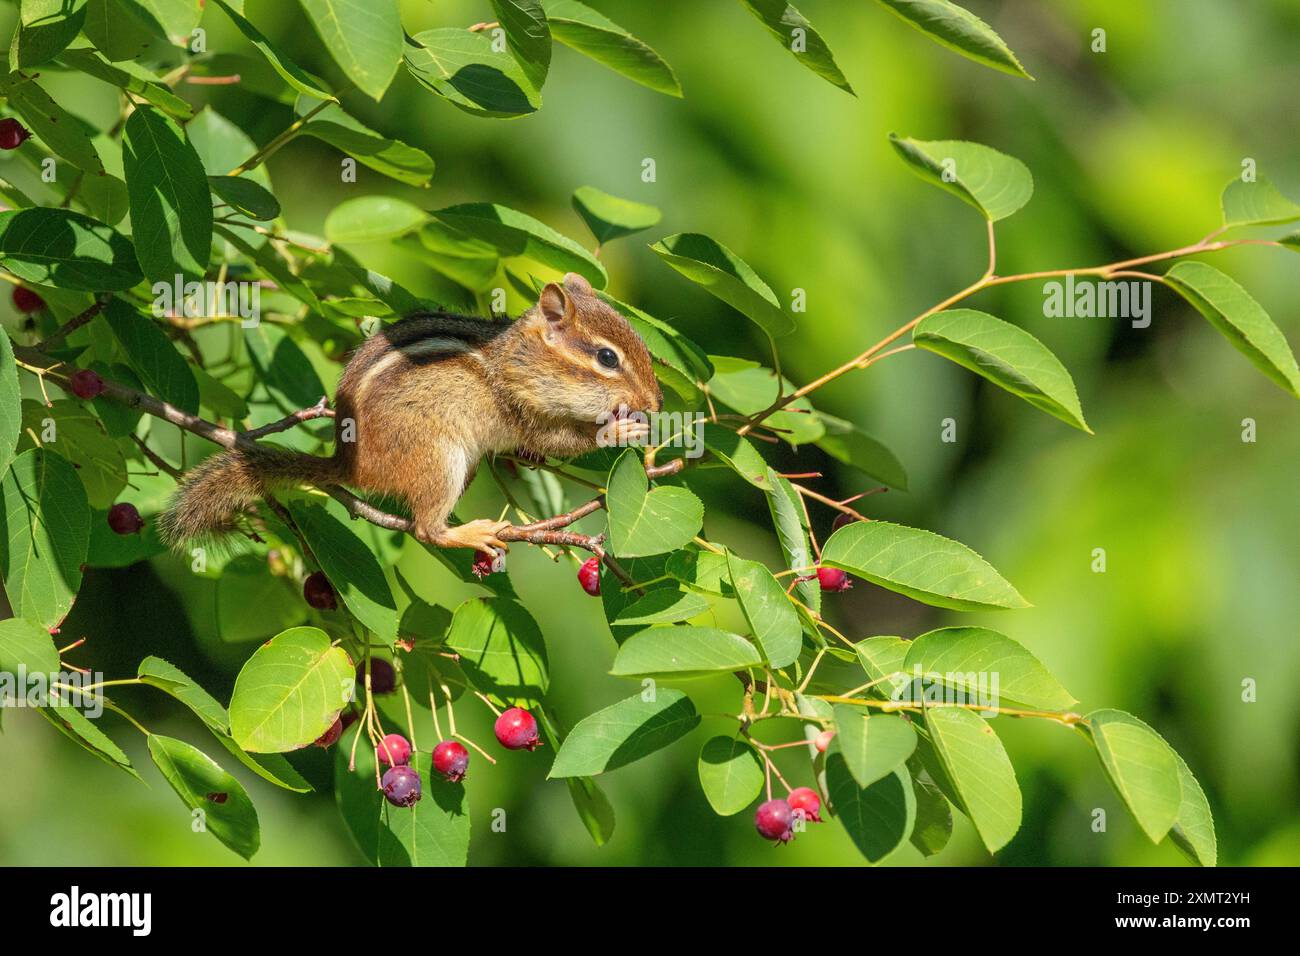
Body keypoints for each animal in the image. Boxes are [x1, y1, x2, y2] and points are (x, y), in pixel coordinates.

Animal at [159, 272, 663, 556]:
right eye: (607, 357)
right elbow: (557, 440)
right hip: (439, 458)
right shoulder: (521, 405)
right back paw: (470, 534)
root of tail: (349, 464)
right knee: (426, 530)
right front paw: (618, 430)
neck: (522, 356)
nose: (656, 403)